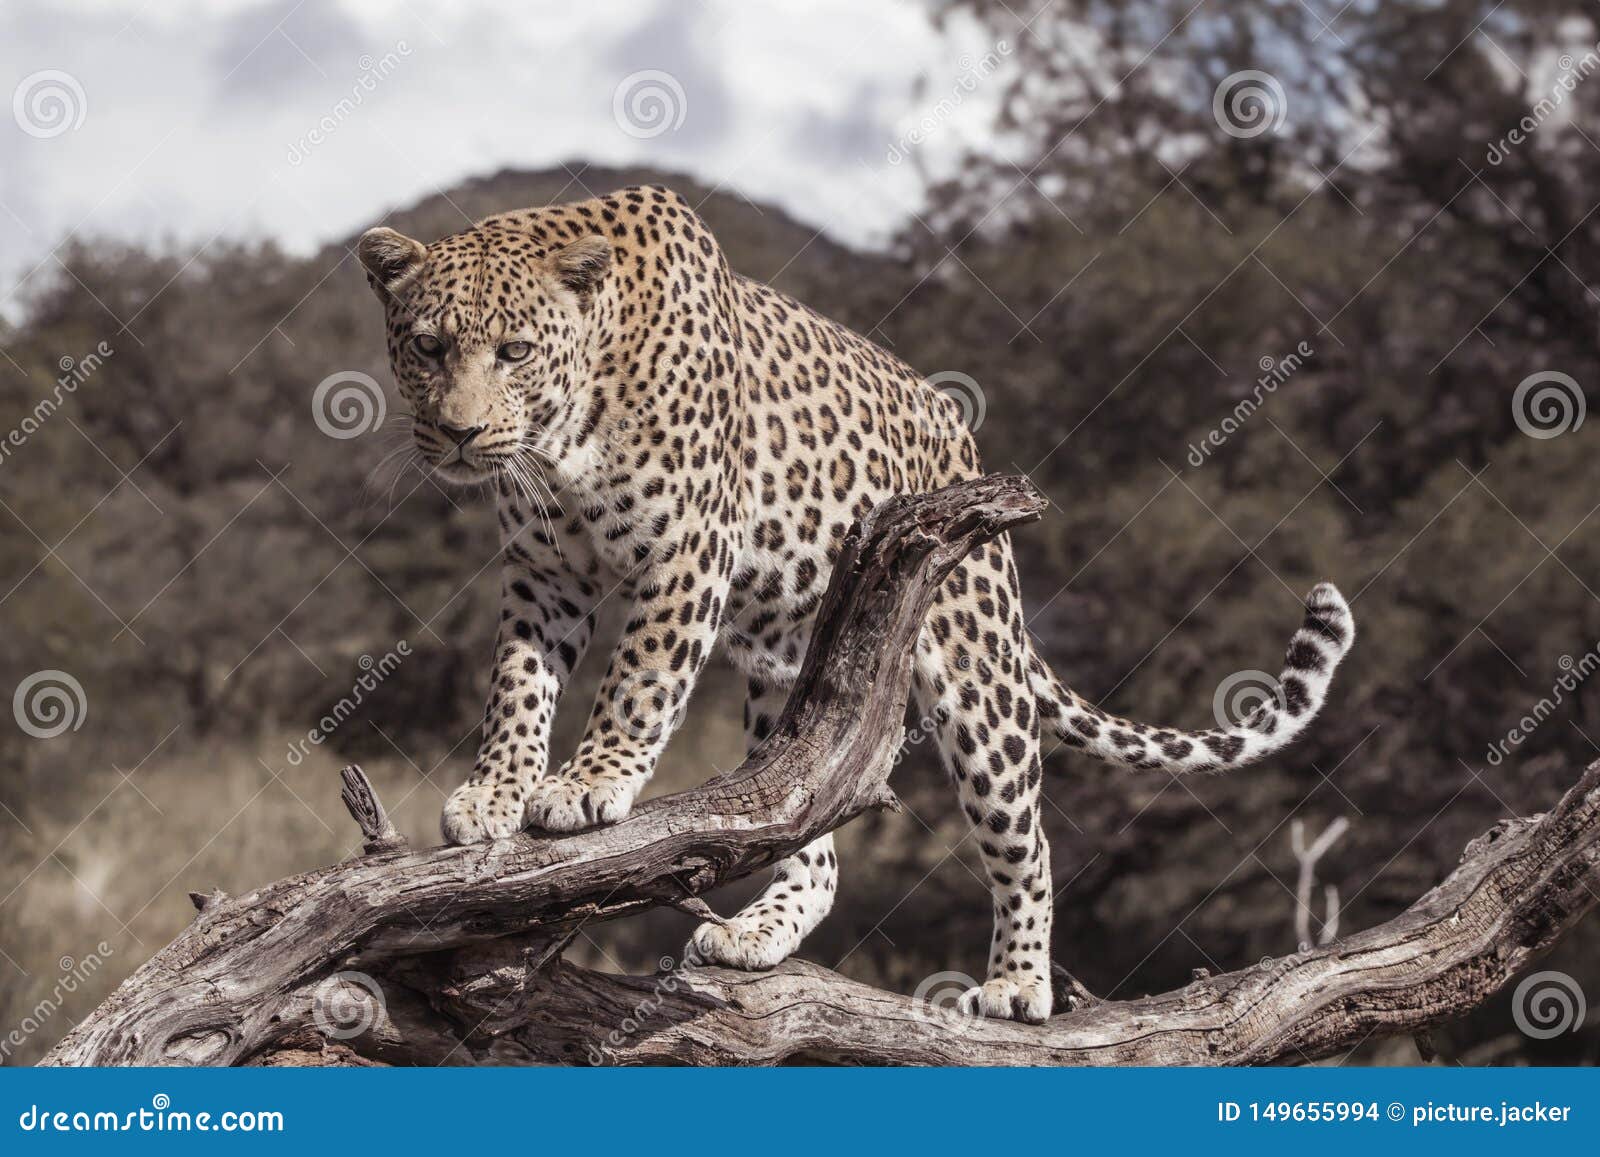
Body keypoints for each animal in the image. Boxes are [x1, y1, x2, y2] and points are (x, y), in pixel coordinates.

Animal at [356, 184, 1355, 1023]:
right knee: (811, 834)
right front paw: (495, 792)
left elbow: (638, 679)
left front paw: (584, 784)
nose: (458, 432)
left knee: (1024, 838)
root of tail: (961, 436)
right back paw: (756, 933)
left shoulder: (687, 549)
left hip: (976, 666)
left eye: (515, 351)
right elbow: (518, 685)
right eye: (429, 347)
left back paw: (1017, 984)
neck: (568, 427)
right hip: (798, 684)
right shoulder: (542, 568)